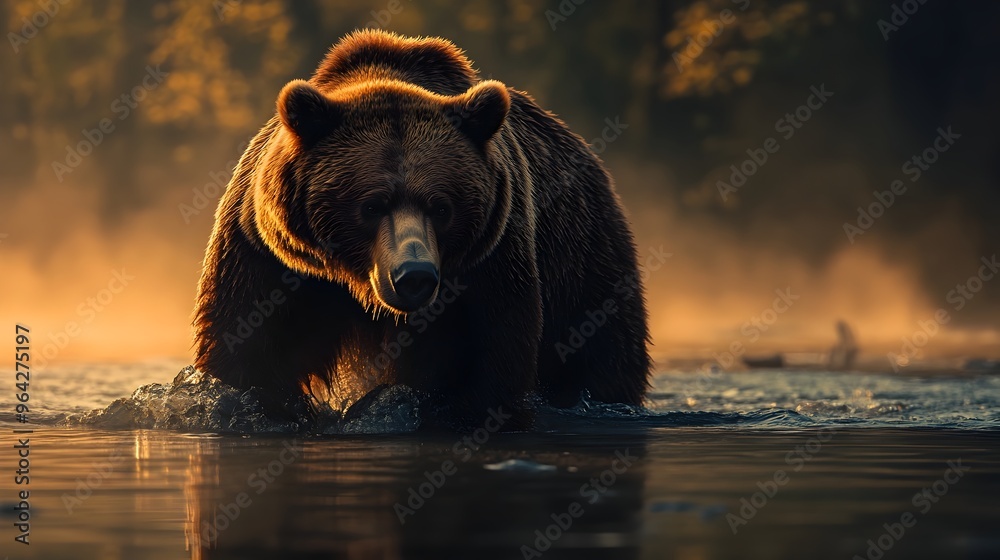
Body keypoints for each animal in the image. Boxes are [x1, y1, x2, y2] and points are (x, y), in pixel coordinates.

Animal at [193, 29, 650, 429]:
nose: (414, 276)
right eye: (372, 205)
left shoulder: (491, 264)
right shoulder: (271, 261)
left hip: (583, 260)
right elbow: (245, 353)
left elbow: (491, 361)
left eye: (441, 206)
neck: (356, 284)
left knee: (604, 354)